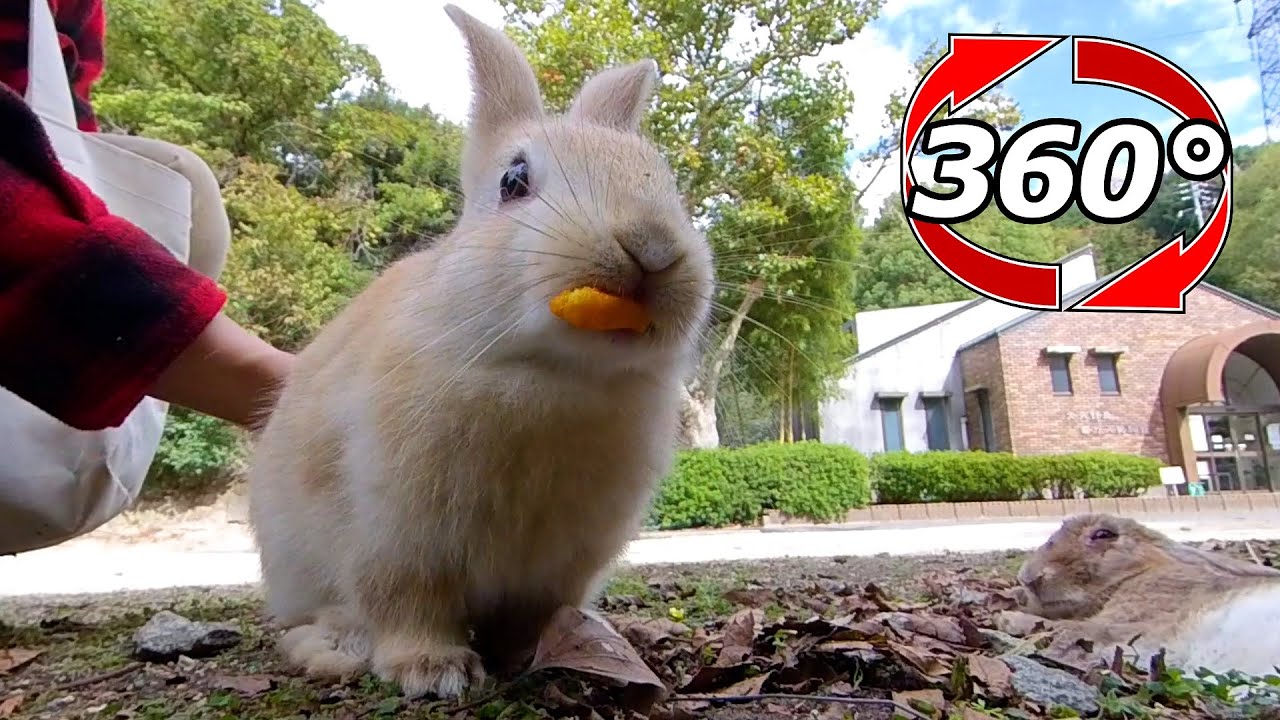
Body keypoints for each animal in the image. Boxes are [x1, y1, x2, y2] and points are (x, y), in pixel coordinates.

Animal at [245, 3, 714, 700]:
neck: (554, 375)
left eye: (661, 178)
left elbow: (537, 612)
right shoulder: (396, 536)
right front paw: (431, 670)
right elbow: (406, 603)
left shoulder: (564, 561)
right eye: (514, 181)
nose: (653, 247)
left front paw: (541, 651)